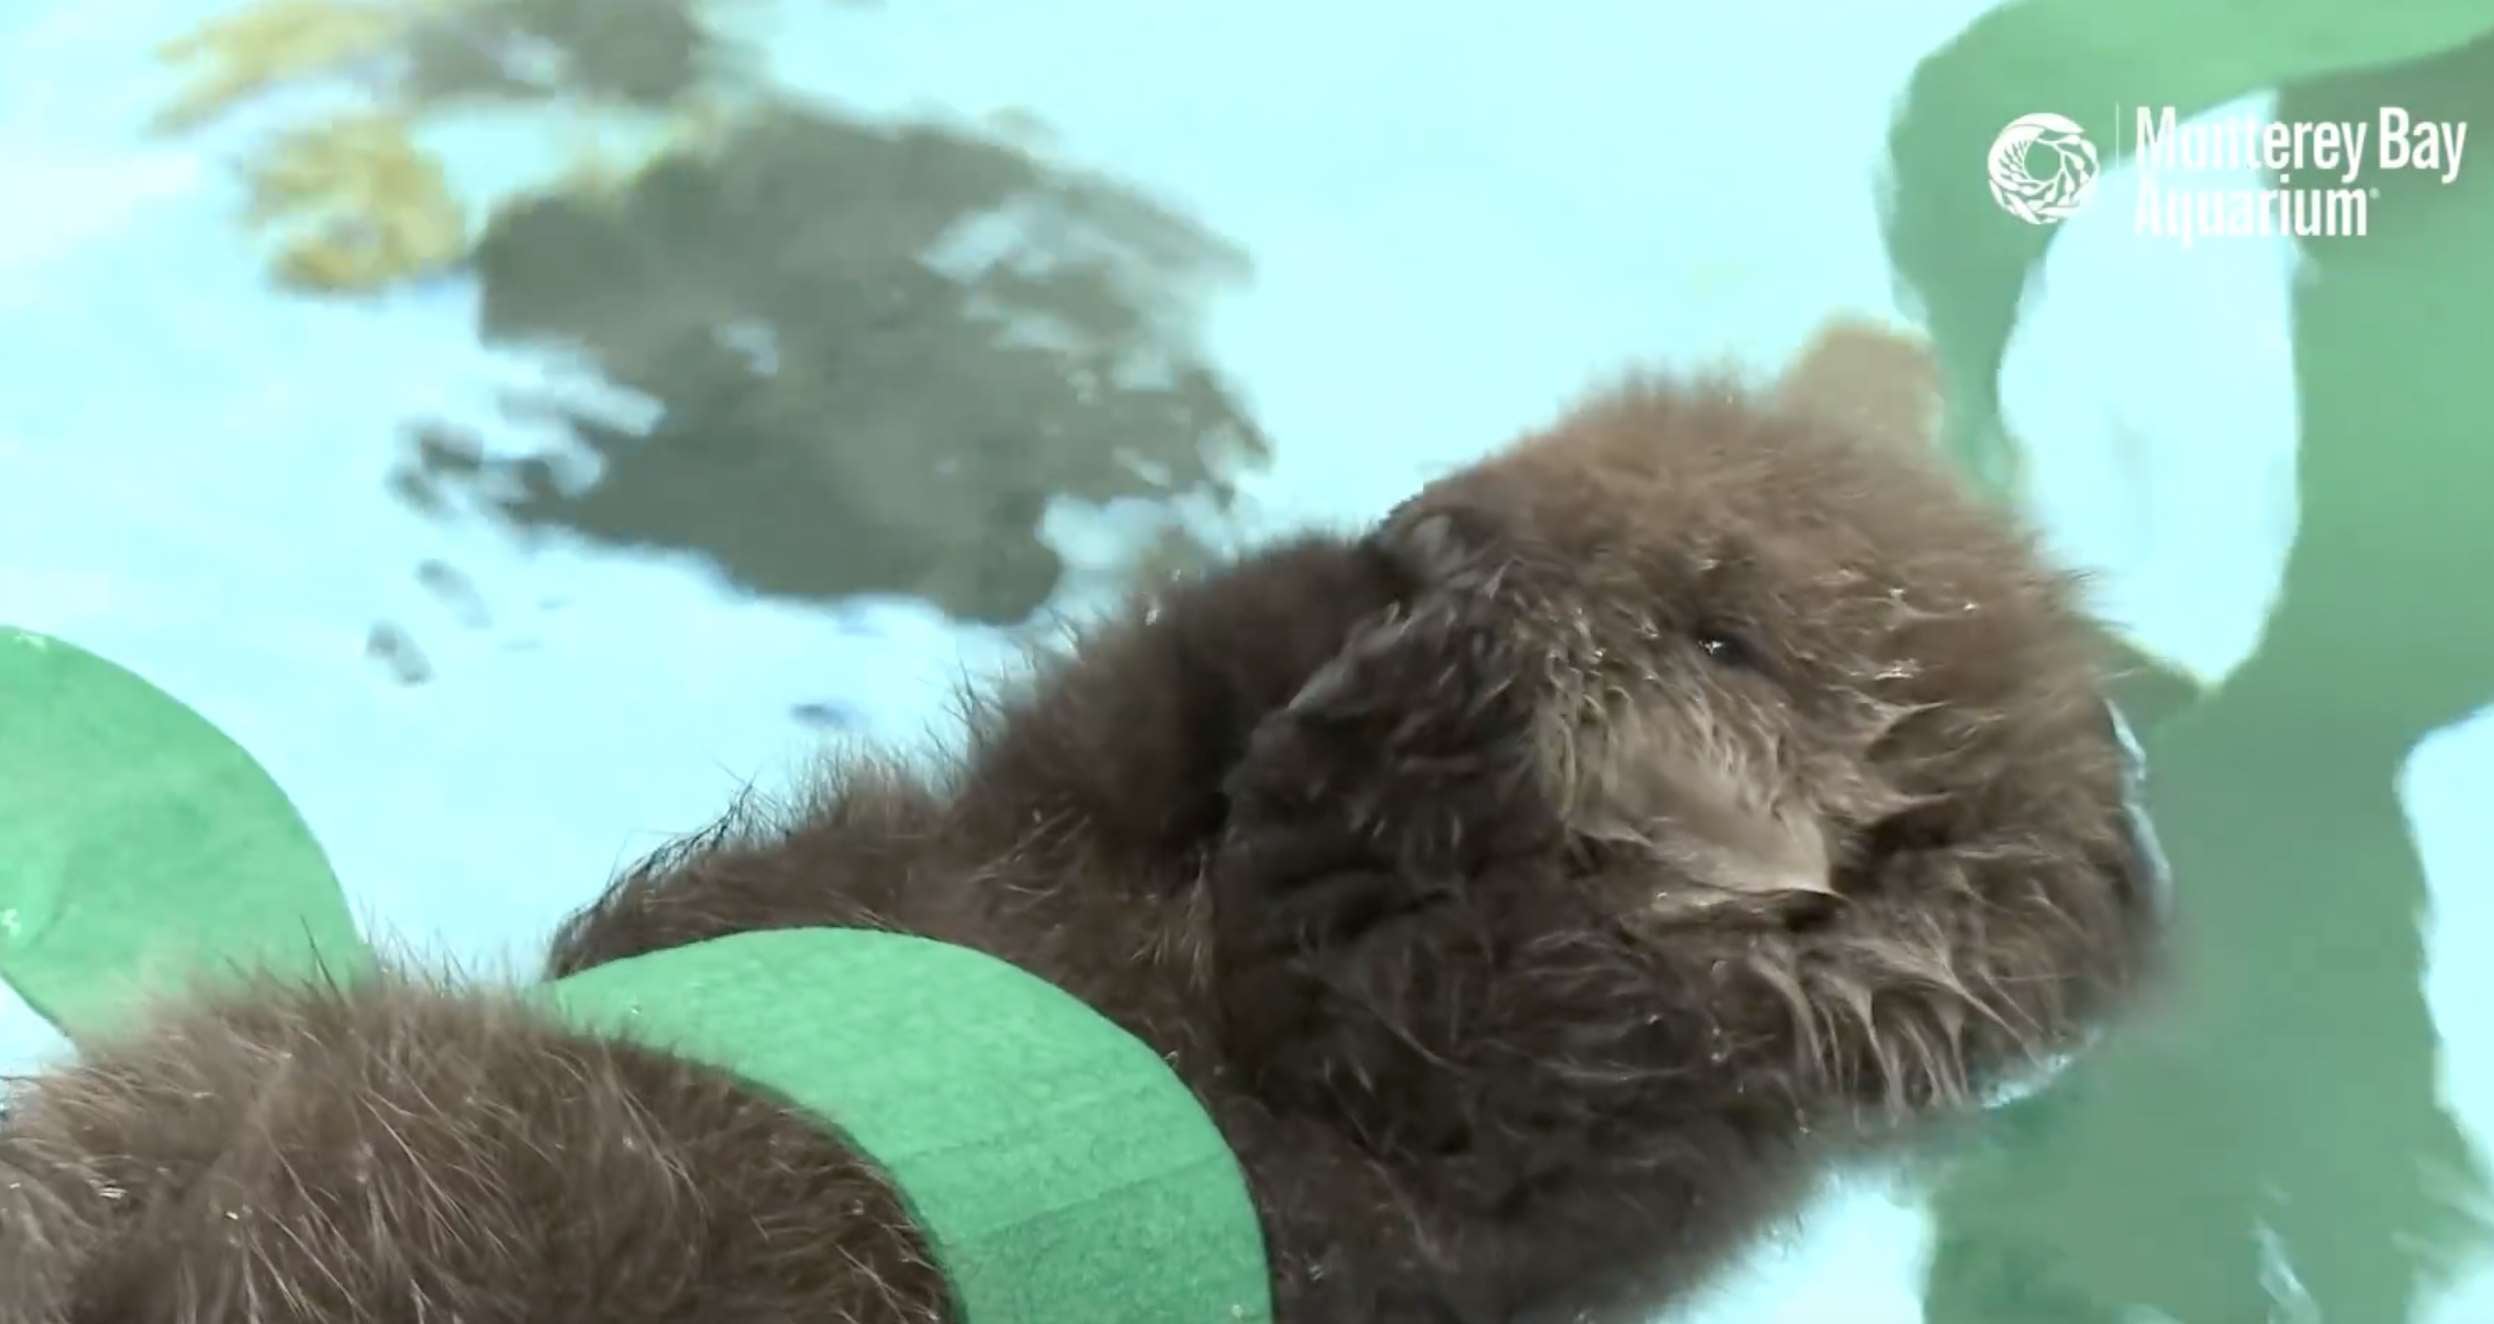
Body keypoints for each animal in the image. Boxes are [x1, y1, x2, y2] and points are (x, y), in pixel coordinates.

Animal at [0, 356, 2164, 1323]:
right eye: (1547, 480)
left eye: (1721, 627)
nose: (1454, 540)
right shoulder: (1059, 810)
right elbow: (1087, 743)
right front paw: (1321, 588)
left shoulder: (1607, 1103)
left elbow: (1415, 1022)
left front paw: (1400, 728)